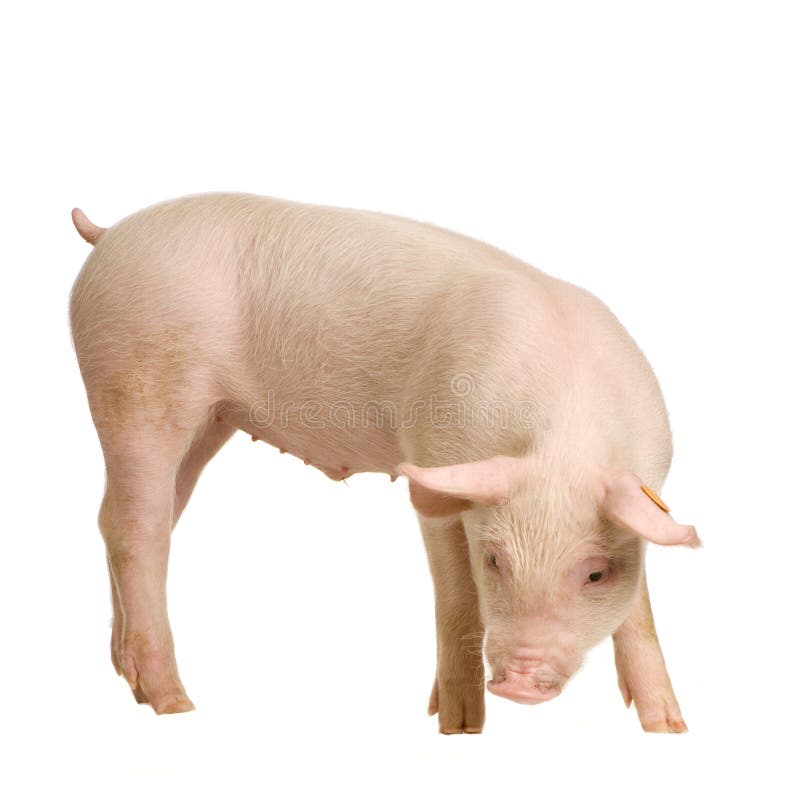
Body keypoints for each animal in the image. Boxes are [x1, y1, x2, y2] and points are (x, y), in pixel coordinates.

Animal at [69, 192, 698, 733]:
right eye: (494, 560)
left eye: (594, 573)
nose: (518, 682)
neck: (562, 441)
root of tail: (111, 235)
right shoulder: (435, 461)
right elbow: (457, 601)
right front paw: (458, 727)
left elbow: (639, 613)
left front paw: (668, 727)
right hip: (134, 379)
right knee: (136, 528)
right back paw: (173, 702)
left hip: (210, 417)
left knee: (124, 517)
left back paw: (129, 681)